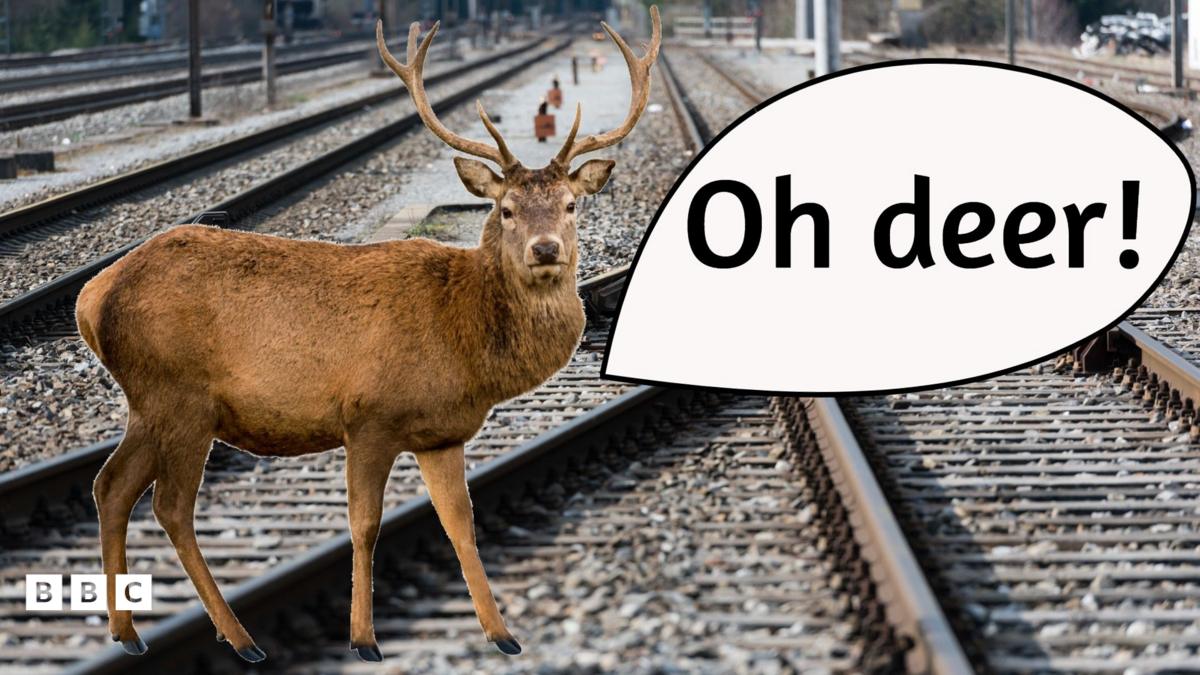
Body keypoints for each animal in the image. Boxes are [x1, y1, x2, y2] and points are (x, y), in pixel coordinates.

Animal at [73, 6, 660, 666]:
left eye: (571, 205)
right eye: (505, 209)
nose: (545, 249)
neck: (463, 339)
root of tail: (91, 298)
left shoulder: (441, 433)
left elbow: (461, 523)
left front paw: (502, 634)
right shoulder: (368, 415)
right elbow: (364, 524)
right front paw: (363, 639)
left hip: (151, 403)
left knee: (110, 486)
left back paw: (129, 633)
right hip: (180, 397)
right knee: (169, 506)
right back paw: (241, 640)